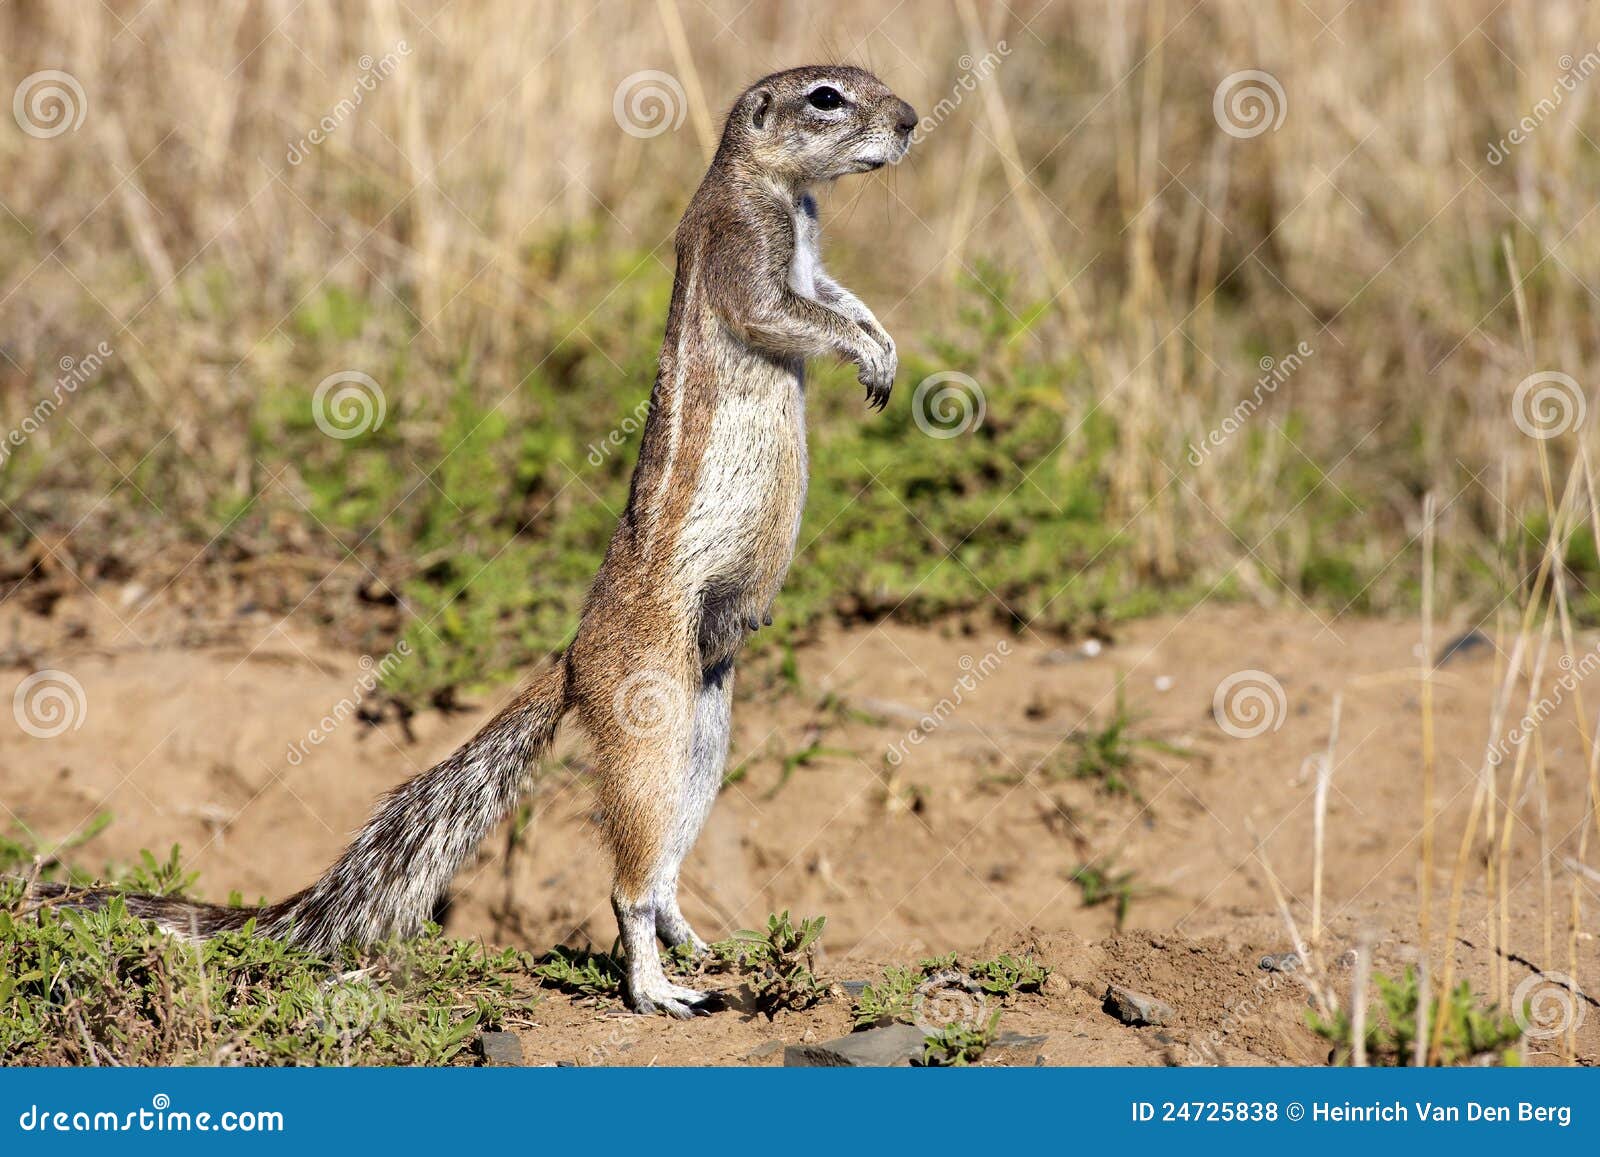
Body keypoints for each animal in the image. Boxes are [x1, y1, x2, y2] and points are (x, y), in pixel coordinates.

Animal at [26, 66, 917, 1018]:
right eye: (827, 96)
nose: (909, 120)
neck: (779, 189)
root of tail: (573, 659)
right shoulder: (745, 250)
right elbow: (785, 312)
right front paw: (866, 355)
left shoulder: (813, 259)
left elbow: (840, 298)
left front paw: (884, 344)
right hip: (650, 707)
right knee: (627, 880)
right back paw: (658, 986)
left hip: (705, 715)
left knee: (669, 849)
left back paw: (696, 939)